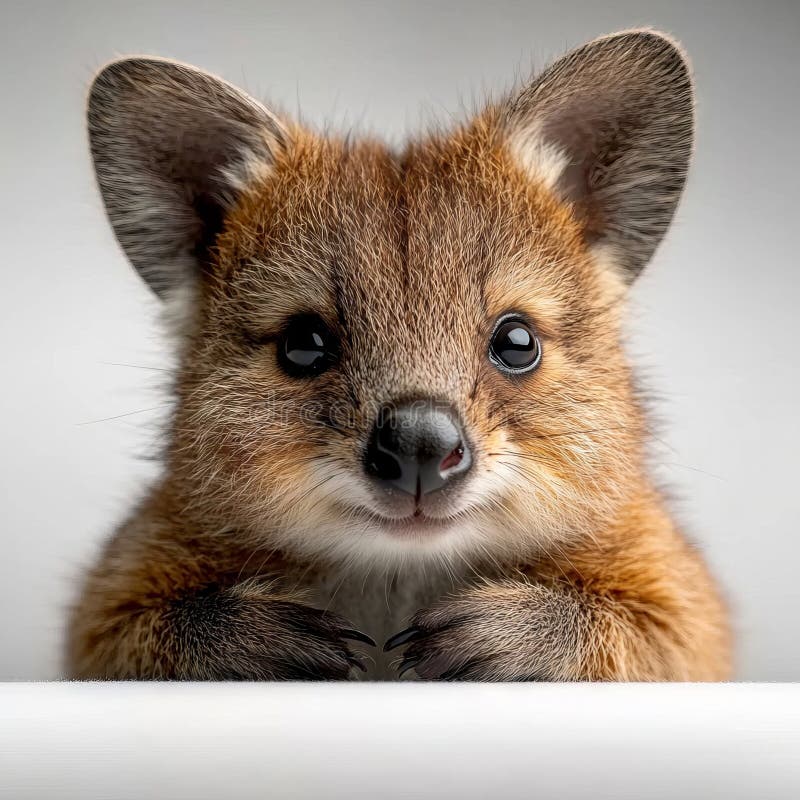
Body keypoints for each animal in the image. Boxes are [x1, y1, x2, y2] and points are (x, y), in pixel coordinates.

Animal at [67, 29, 732, 681]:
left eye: (518, 342)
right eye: (302, 345)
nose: (419, 447)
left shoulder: (686, 602)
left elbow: (659, 637)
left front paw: (498, 637)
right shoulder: (106, 602)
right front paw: (264, 640)